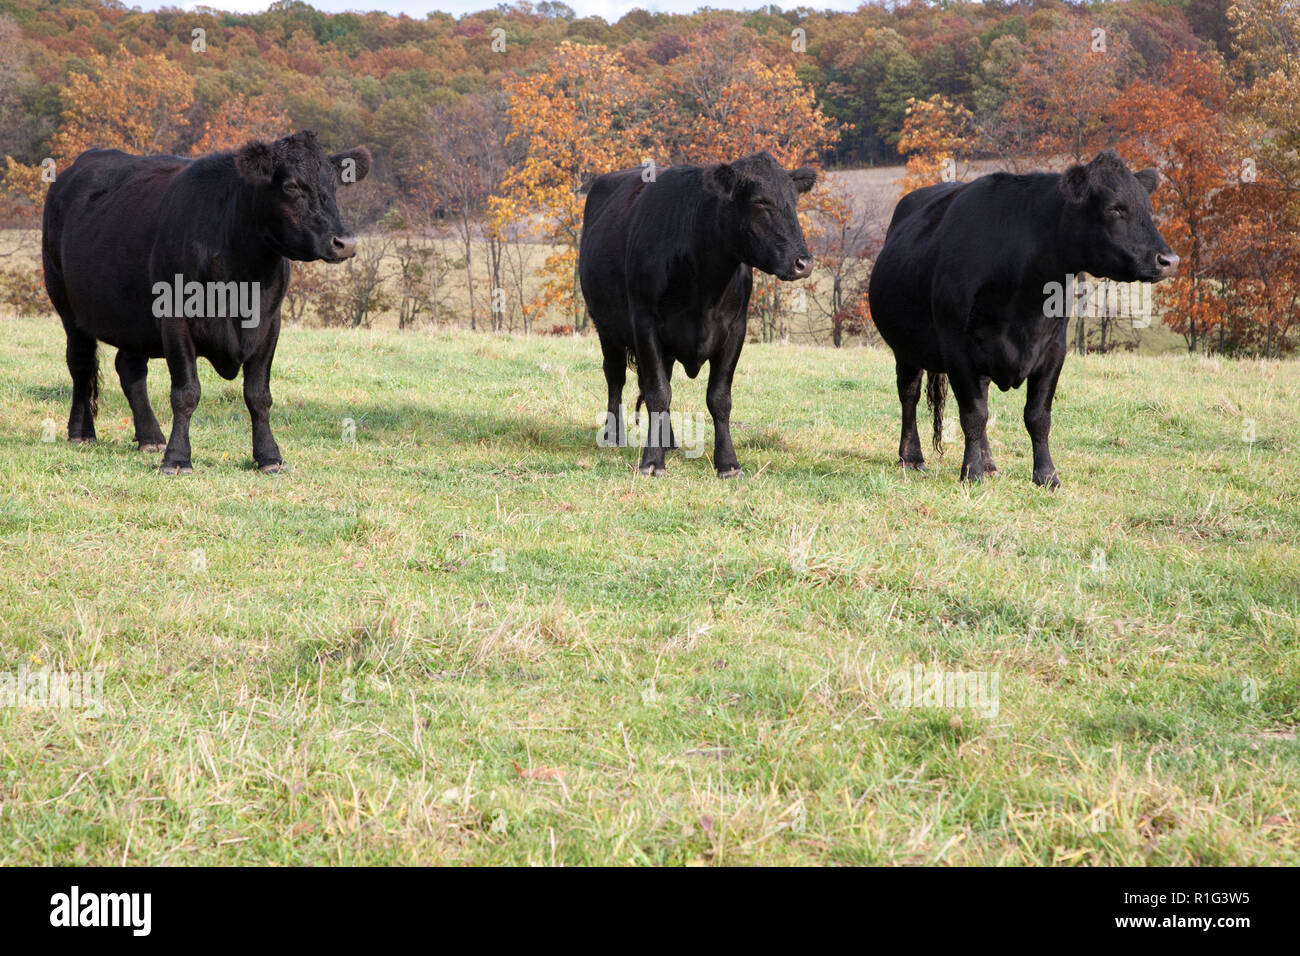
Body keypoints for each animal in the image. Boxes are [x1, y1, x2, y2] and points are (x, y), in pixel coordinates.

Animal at [42, 130, 371, 474]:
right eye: (291, 186)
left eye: (334, 185)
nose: (345, 242)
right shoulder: (174, 317)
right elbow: (186, 393)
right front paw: (177, 458)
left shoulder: (269, 323)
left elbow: (258, 395)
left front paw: (269, 456)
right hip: (67, 305)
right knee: (81, 364)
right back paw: (82, 433)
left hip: (131, 318)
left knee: (130, 369)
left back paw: (150, 437)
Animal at [578, 151, 816, 478]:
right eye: (760, 202)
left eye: (793, 200)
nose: (803, 262)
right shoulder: (644, 324)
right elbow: (657, 393)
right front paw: (652, 462)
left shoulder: (735, 330)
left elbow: (718, 398)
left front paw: (728, 463)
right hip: (606, 327)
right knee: (615, 378)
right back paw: (613, 435)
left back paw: (668, 440)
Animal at [867, 151, 1179, 489]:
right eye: (1114, 208)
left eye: (1148, 208)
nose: (1169, 260)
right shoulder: (956, 348)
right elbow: (973, 415)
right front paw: (971, 473)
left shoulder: (1053, 350)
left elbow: (1037, 417)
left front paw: (1046, 475)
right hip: (905, 349)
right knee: (909, 396)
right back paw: (911, 457)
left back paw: (989, 462)